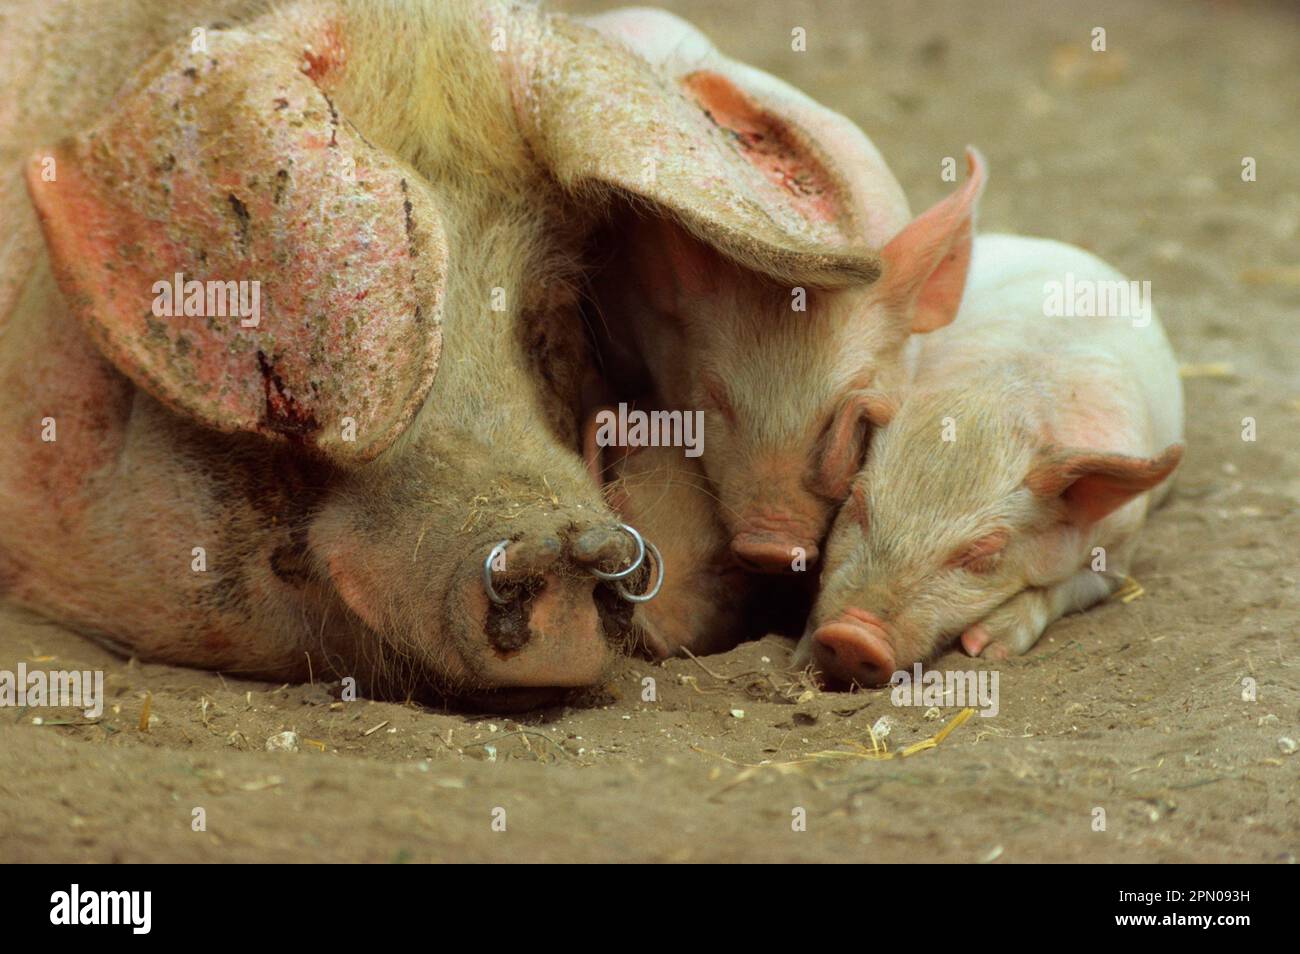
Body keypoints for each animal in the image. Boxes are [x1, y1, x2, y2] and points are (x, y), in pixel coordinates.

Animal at [795, 233, 1186, 686]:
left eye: (984, 551)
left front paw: (983, 649)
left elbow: (1064, 589)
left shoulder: (1118, 552)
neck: (996, 397)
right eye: (857, 504)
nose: (853, 636)